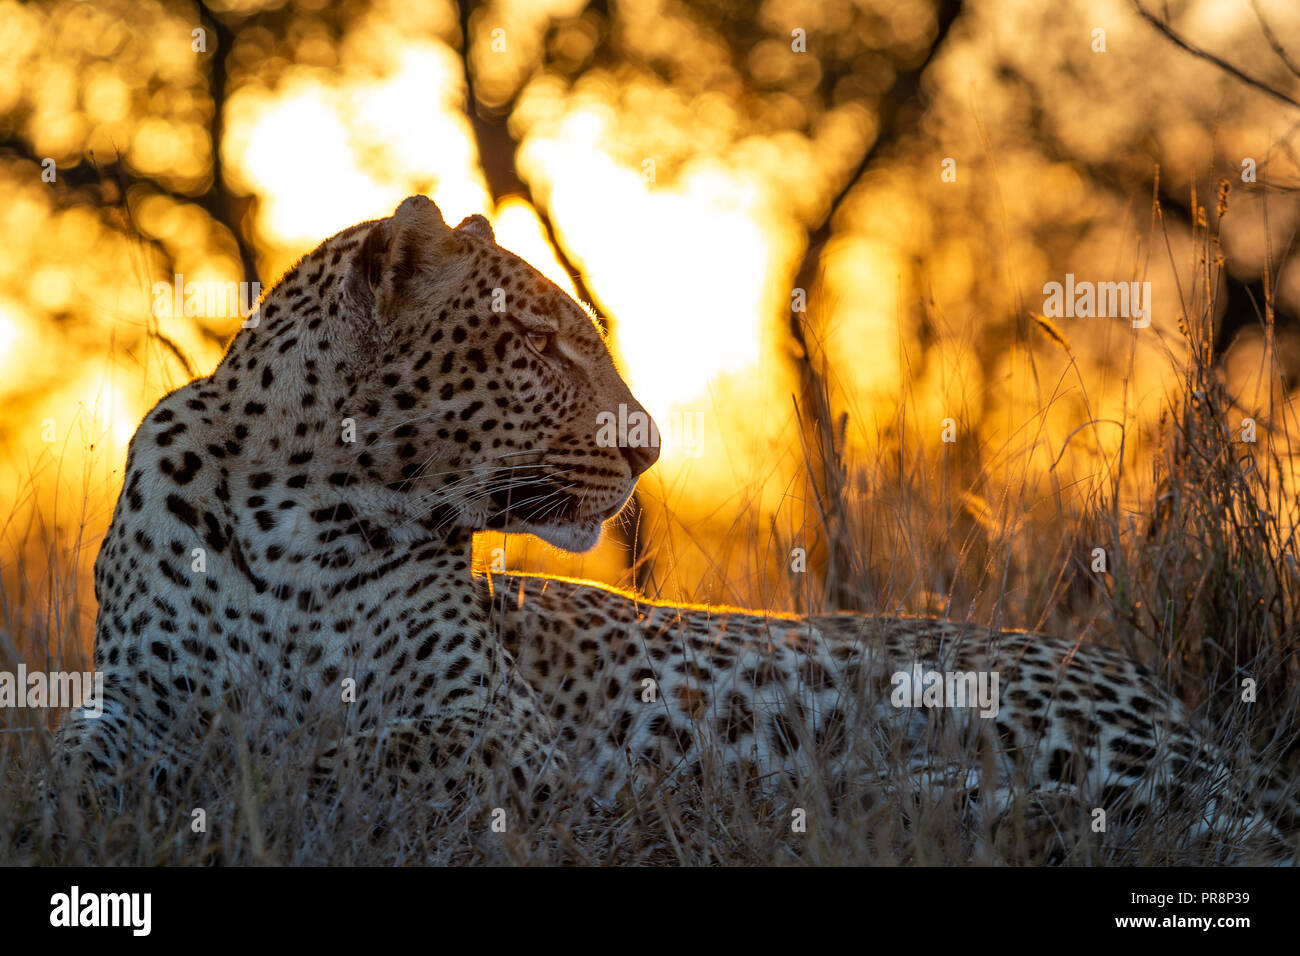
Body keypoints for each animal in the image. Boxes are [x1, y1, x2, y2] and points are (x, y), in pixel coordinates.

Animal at [54, 194, 1293, 856]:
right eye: (544, 344)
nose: (649, 446)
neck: (305, 508)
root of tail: (1175, 700)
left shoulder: (491, 722)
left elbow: (336, 752)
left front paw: (237, 777)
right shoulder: (132, 698)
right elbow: (78, 754)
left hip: (1040, 722)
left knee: (1191, 817)